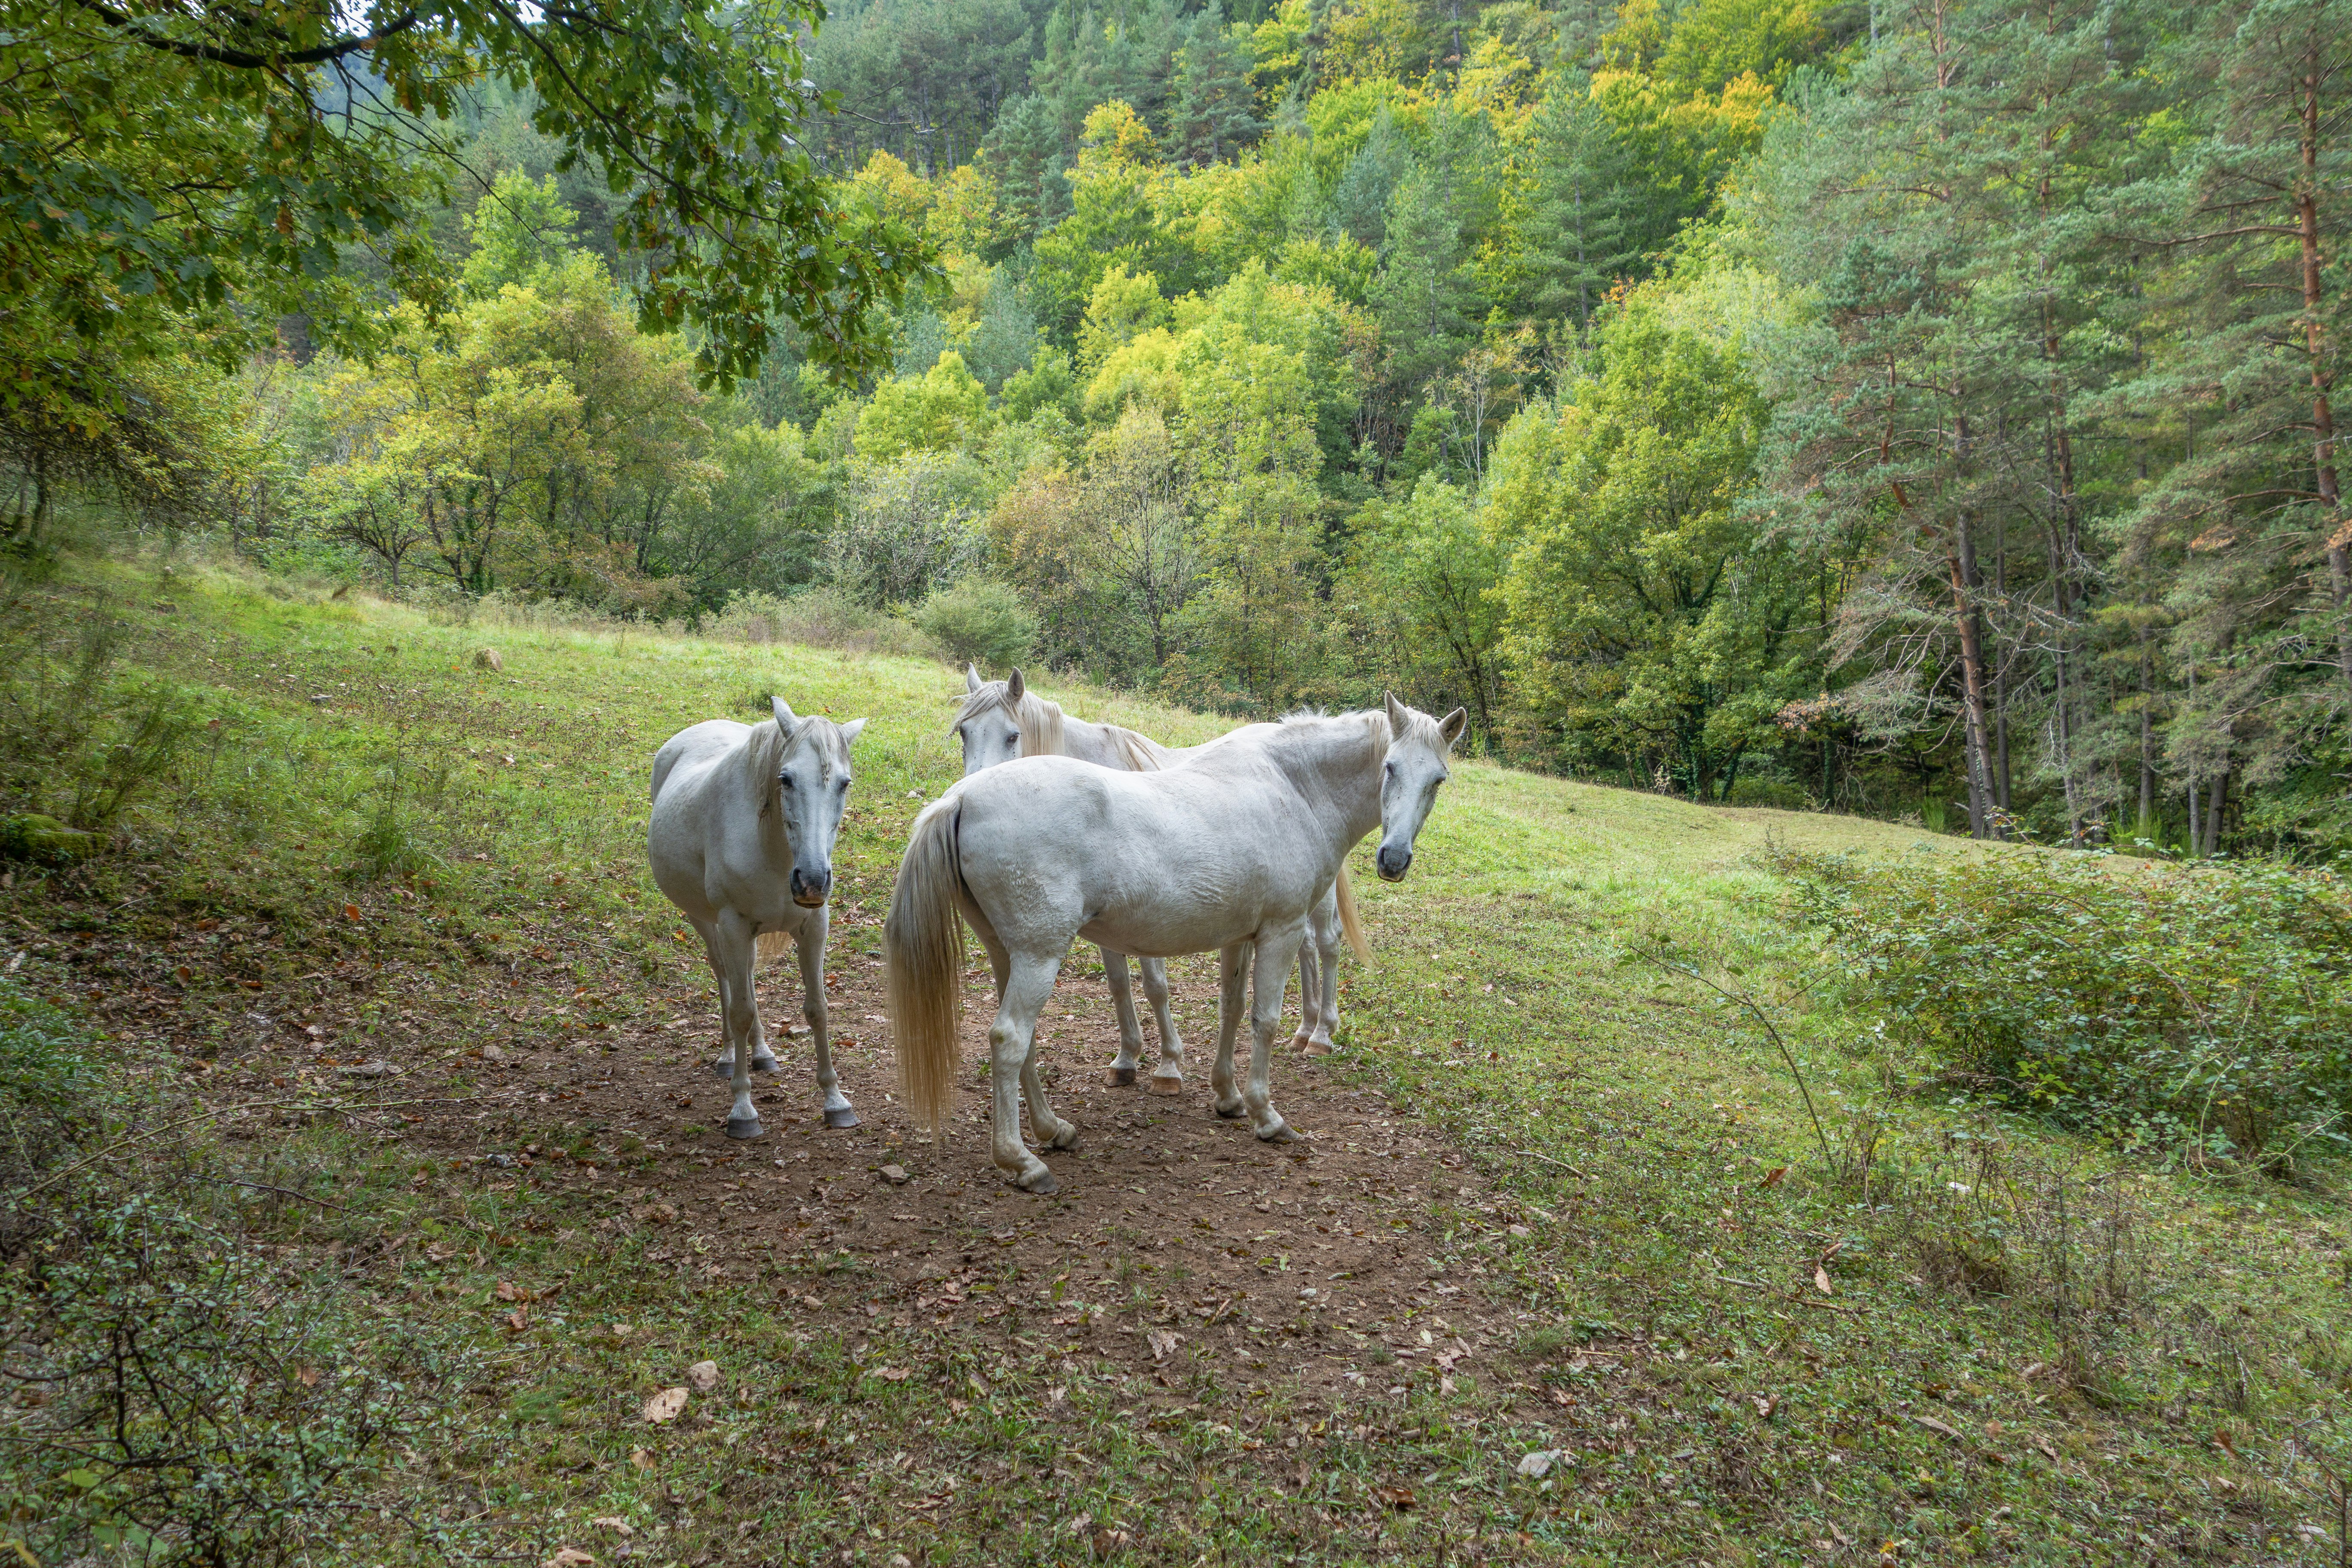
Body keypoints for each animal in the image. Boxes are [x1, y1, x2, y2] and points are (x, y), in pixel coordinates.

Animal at [648, 696, 868, 1141]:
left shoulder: (813, 928)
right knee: (726, 979)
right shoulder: (733, 925)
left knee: (746, 977)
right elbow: (741, 1011)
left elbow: (818, 1009)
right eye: (785, 779)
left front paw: (836, 1102)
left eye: (844, 783)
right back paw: (728, 1056)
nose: (812, 881)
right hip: (706, 921)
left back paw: (762, 1053)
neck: (776, 852)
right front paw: (743, 1110)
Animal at [951, 667, 1355, 1089]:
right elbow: (1119, 984)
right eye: (964, 732)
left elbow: (1156, 987)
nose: (970, 791)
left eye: (1013, 735)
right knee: (1307, 945)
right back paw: (1304, 1029)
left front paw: (1168, 1067)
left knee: (1326, 943)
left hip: (1317, 898)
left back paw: (1321, 1033)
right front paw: (1127, 1058)